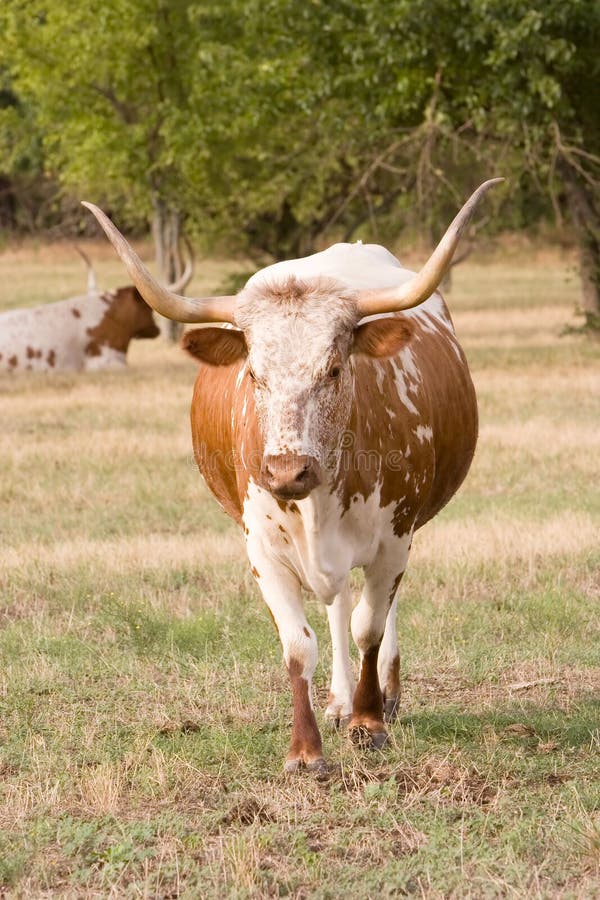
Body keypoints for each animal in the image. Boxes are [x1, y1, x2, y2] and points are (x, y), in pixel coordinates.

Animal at [84, 179, 501, 772]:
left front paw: (370, 722)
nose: (286, 470)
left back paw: (384, 697)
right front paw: (306, 749)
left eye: (334, 369)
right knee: (336, 602)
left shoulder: (394, 538)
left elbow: (370, 625)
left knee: (373, 608)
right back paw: (339, 701)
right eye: (253, 373)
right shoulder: (262, 550)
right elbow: (299, 644)